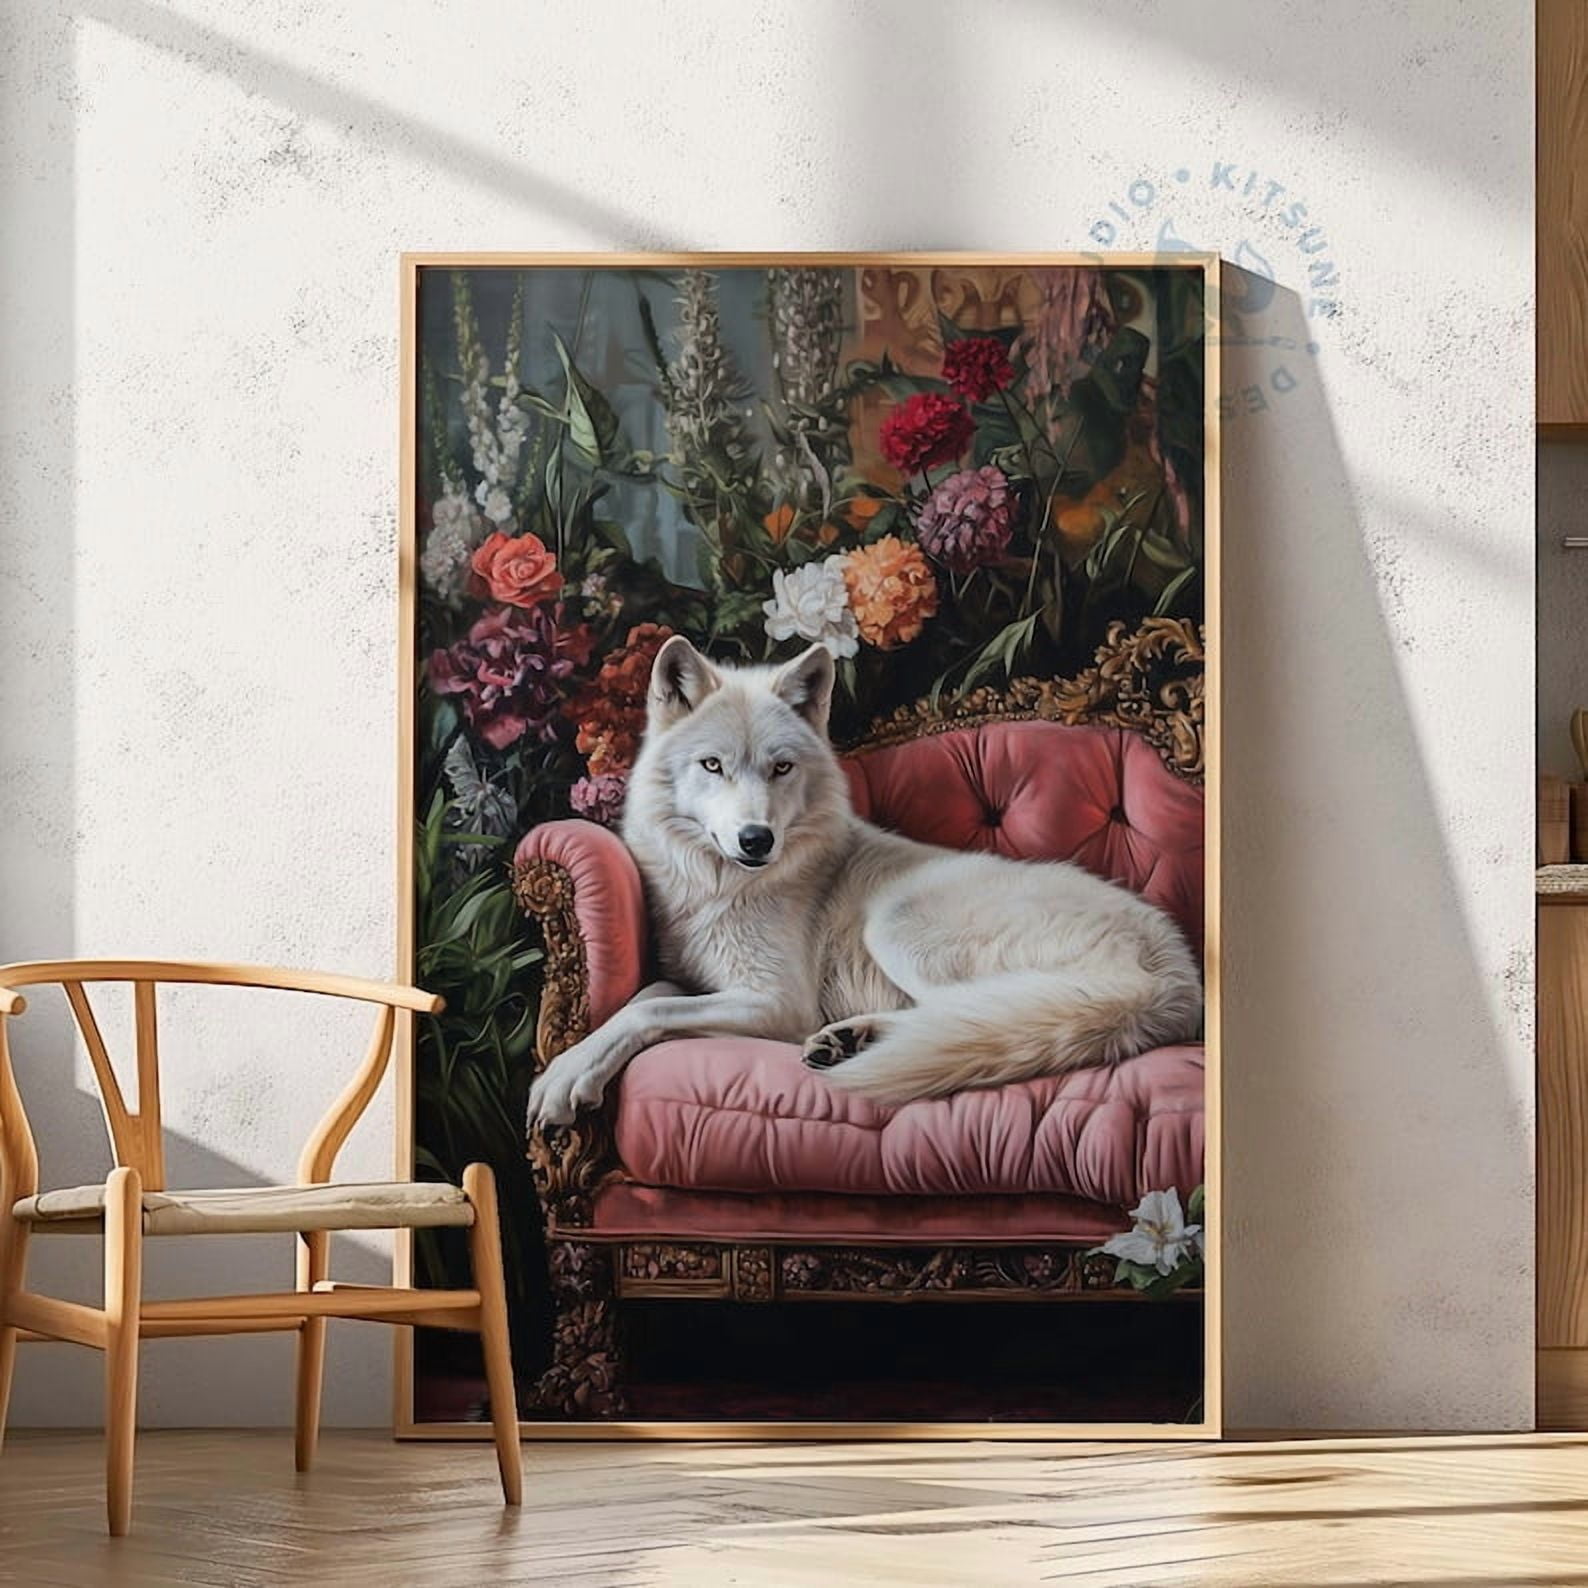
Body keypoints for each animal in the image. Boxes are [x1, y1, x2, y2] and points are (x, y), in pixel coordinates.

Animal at [526, 635, 1202, 1128]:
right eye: (712, 765)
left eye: (781, 768)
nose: (756, 840)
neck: (720, 887)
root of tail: (1175, 972)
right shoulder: (697, 976)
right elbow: (645, 996)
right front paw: (576, 1063)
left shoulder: (778, 1002)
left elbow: (651, 1009)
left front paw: (561, 1078)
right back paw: (848, 1040)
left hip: (898, 928)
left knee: (983, 1012)